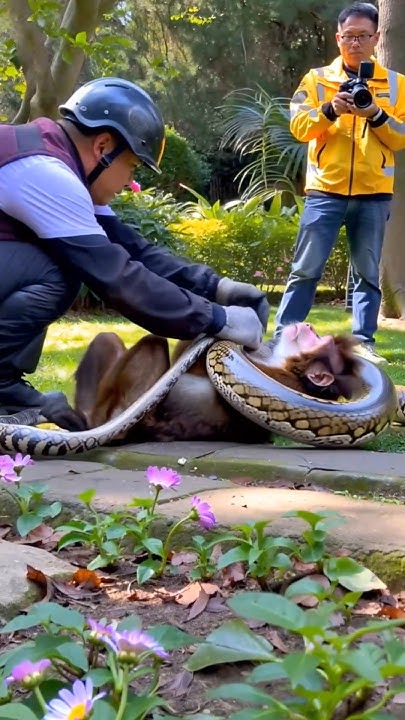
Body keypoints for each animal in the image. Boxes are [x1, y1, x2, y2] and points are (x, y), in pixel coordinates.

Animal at [72, 322, 364, 445]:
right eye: (318, 336)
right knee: (107, 336)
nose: (309, 325)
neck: (285, 365)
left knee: (154, 343)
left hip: (121, 409)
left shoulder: (277, 376)